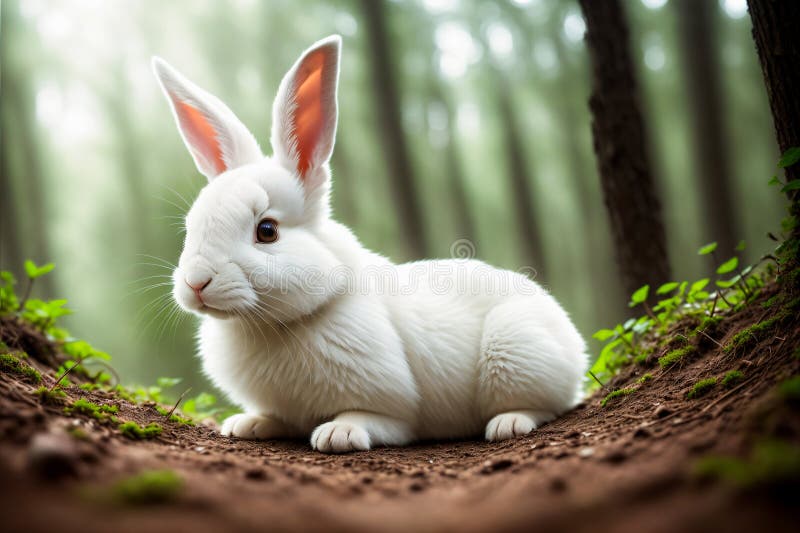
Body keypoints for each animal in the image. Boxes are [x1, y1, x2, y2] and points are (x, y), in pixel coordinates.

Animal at [152, 35, 588, 453]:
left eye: (267, 230)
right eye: (191, 226)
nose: (196, 282)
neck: (274, 323)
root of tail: (574, 342)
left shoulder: (392, 405)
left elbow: (373, 418)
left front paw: (339, 434)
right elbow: (275, 417)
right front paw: (247, 425)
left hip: (516, 353)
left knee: (550, 404)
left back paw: (508, 423)